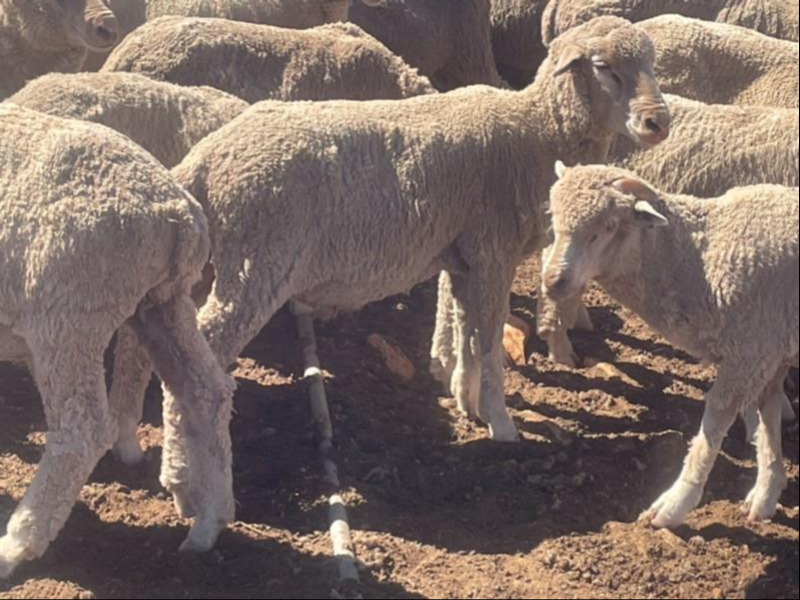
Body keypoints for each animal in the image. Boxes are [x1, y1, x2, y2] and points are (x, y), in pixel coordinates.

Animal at [0, 103, 235, 579]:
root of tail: (176, 213)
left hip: (69, 314)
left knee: (83, 430)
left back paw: (16, 545)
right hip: (161, 303)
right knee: (208, 392)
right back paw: (208, 523)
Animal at [543, 164, 799, 528]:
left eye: (608, 226)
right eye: (553, 218)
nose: (553, 281)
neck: (697, 263)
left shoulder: (750, 353)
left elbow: (715, 422)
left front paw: (676, 503)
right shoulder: (770, 351)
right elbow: (769, 418)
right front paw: (767, 491)